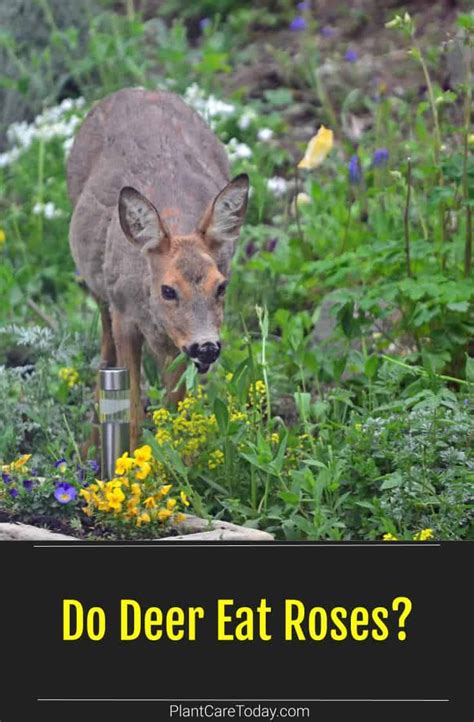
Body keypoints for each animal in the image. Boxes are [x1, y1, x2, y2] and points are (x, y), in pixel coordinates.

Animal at [67, 88, 249, 451]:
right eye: (168, 289)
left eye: (221, 286)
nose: (207, 347)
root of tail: (136, 90)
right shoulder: (125, 315)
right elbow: (133, 411)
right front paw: (130, 460)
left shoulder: (176, 345)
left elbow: (177, 408)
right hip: (100, 291)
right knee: (104, 350)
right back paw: (90, 444)